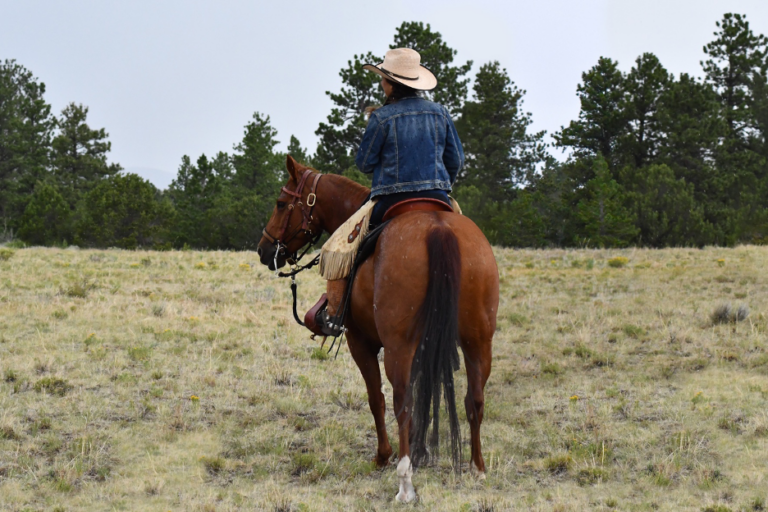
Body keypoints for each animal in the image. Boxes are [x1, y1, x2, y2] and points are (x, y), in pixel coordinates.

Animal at [257, 156, 499, 503]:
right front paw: (423, 450)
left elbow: (376, 399)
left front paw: (384, 456)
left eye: (280, 203)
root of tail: (438, 228)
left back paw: (405, 483)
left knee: (402, 402)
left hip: (399, 346)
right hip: (478, 340)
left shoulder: (360, 342)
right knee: (474, 399)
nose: (264, 250)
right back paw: (476, 468)